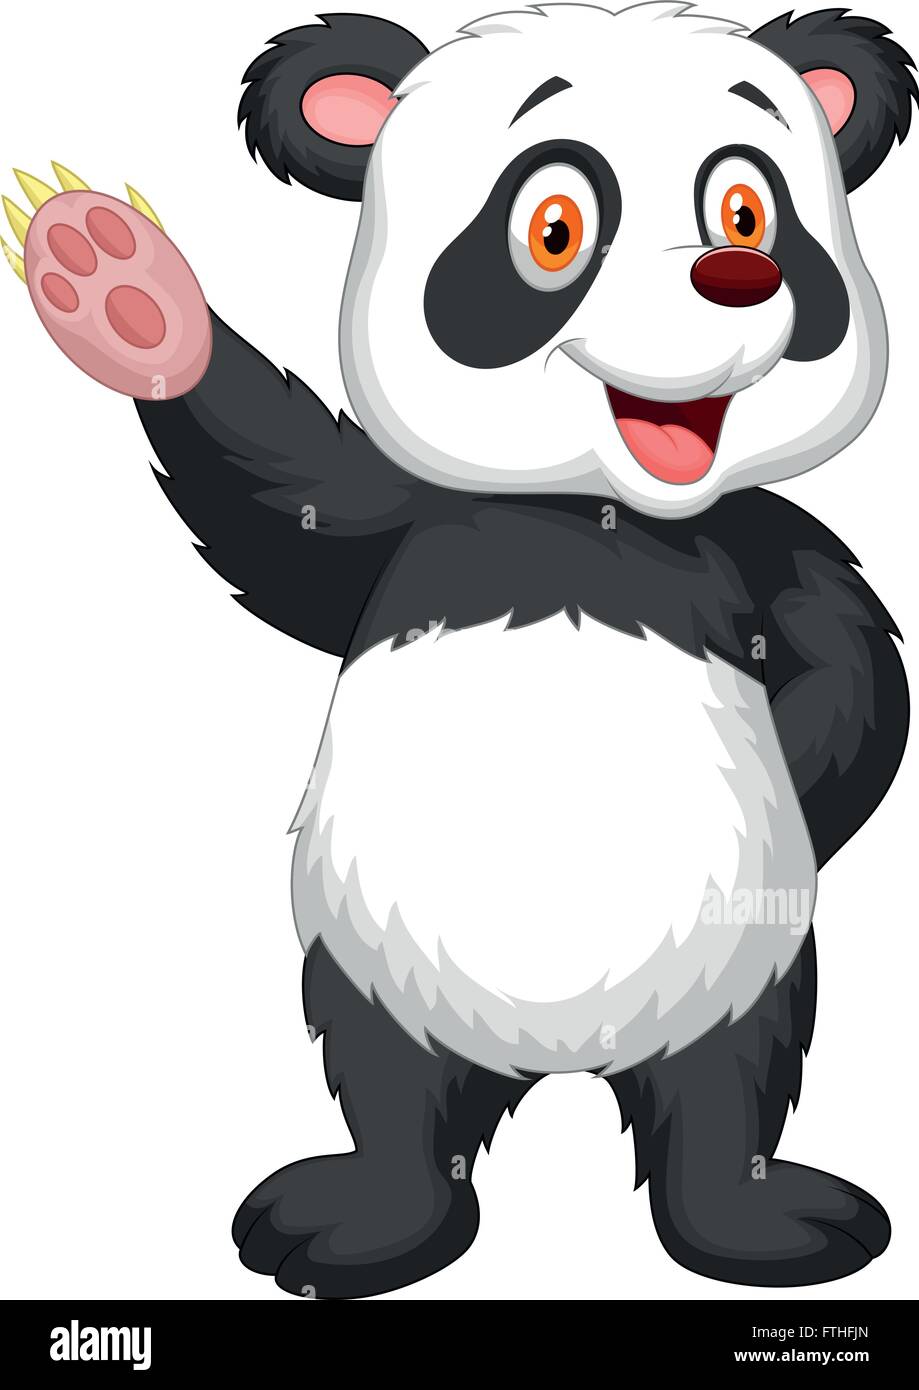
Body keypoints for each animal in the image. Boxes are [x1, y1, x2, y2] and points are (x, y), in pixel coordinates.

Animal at [4, 4, 915, 1299]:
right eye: (554, 227)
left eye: (748, 207)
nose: (738, 273)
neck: (593, 514)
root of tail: (566, 1058)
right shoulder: (408, 525)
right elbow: (284, 517)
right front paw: (126, 295)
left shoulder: (753, 542)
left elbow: (848, 672)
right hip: (375, 959)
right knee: (392, 1088)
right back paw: (363, 1221)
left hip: (741, 972)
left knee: (730, 1085)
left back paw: (755, 1224)